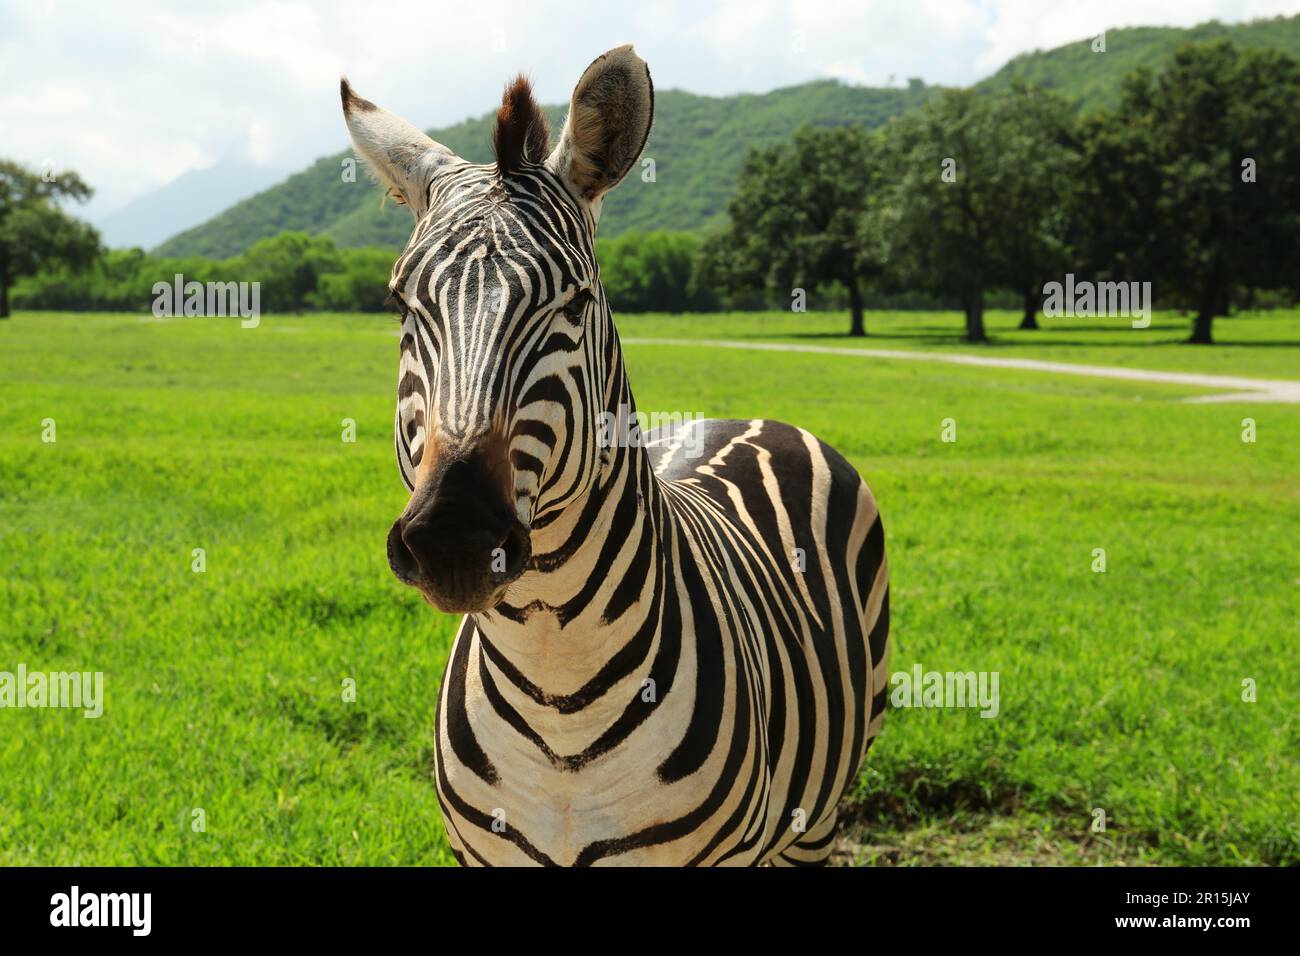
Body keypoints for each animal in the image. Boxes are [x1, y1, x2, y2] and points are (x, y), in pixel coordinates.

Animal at [341, 44, 889, 866]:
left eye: (572, 302)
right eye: (401, 304)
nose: (453, 538)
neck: (556, 689)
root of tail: (747, 417)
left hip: (818, 812)